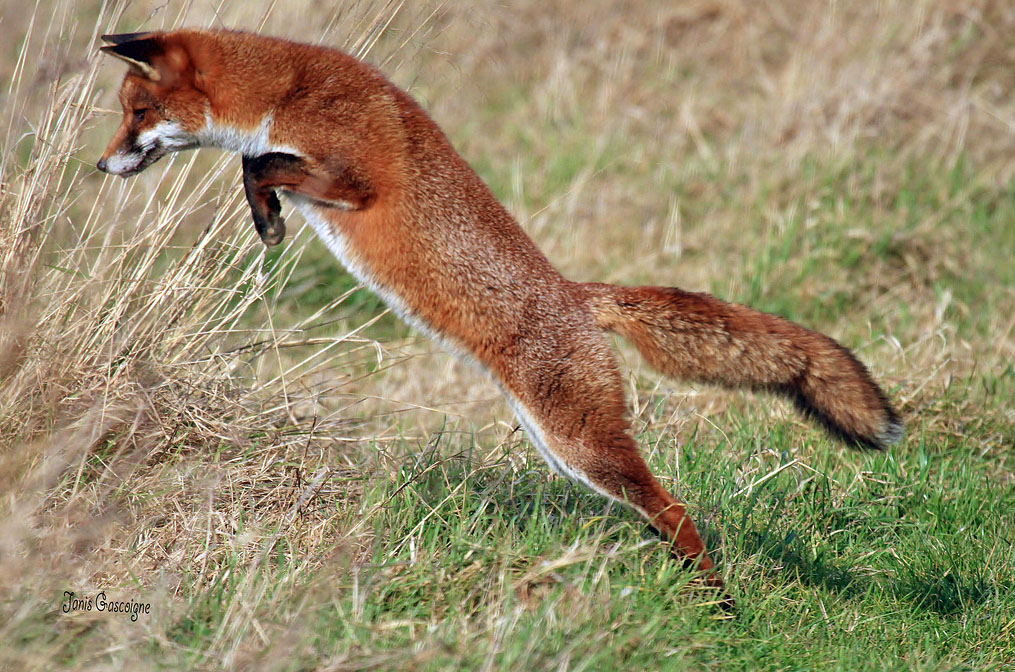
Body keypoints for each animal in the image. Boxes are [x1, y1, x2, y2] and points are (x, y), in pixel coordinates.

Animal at [97, 29, 903, 607]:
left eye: (139, 114)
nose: (101, 167)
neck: (292, 90)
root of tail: (579, 293)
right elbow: (255, 163)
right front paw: (265, 219)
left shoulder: (352, 181)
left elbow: (257, 164)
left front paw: (266, 219)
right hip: (564, 449)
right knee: (657, 509)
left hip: (580, 444)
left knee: (674, 507)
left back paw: (716, 602)